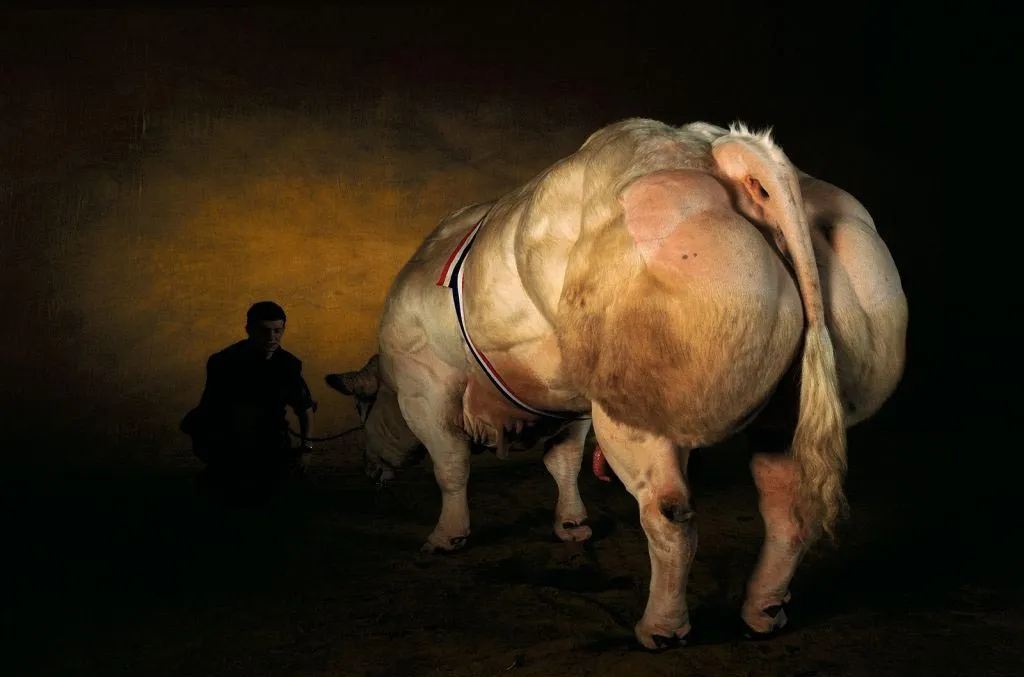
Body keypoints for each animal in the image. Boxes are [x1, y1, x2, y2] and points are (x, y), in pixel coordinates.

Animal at [326, 118, 908, 649]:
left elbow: (450, 467)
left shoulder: (427, 387)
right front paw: (573, 526)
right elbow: (563, 462)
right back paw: (762, 610)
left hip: (638, 412)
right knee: (786, 510)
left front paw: (447, 536)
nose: (369, 472)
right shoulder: (570, 404)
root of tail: (717, 148)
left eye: (362, 411)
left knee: (669, 514)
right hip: (780, 413)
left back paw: (662, 628)